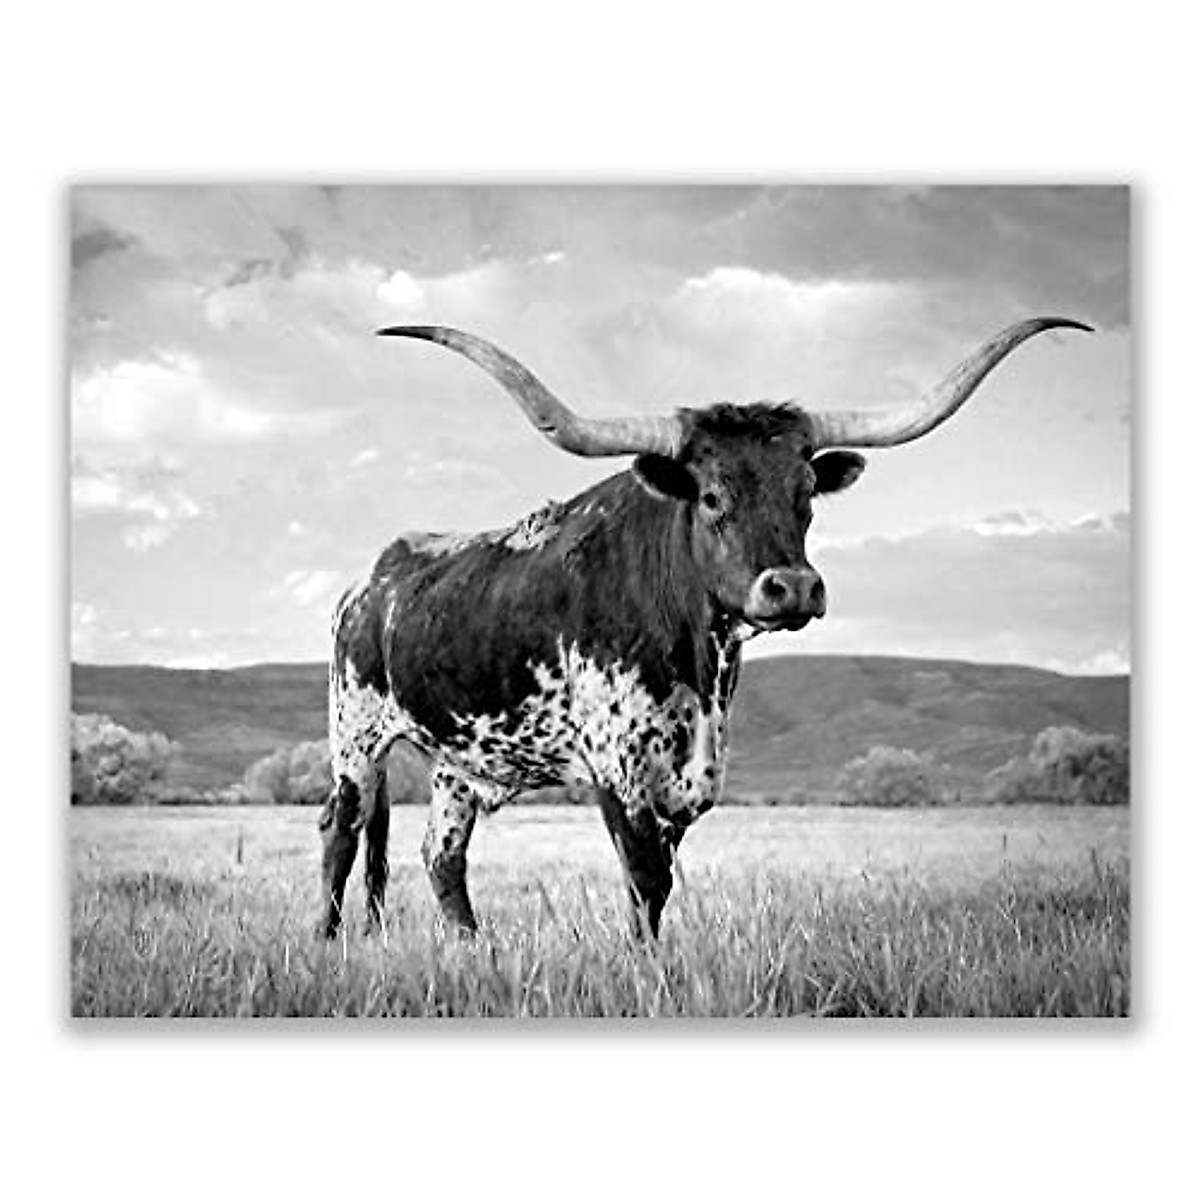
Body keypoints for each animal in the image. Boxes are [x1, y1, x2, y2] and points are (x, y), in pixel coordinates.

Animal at [318, 316, 1090, 939]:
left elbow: (658, 887)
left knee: (442, 857)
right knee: (341, 835)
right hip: (356, 737)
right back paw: (328, 945)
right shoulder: (619, 767)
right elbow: (643, 881)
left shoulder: (690, 776)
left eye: (806, 493)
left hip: (459, 760)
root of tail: (367, 583)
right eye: (713, 496)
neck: (696, 661)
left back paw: (473, 949)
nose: (793, 586)